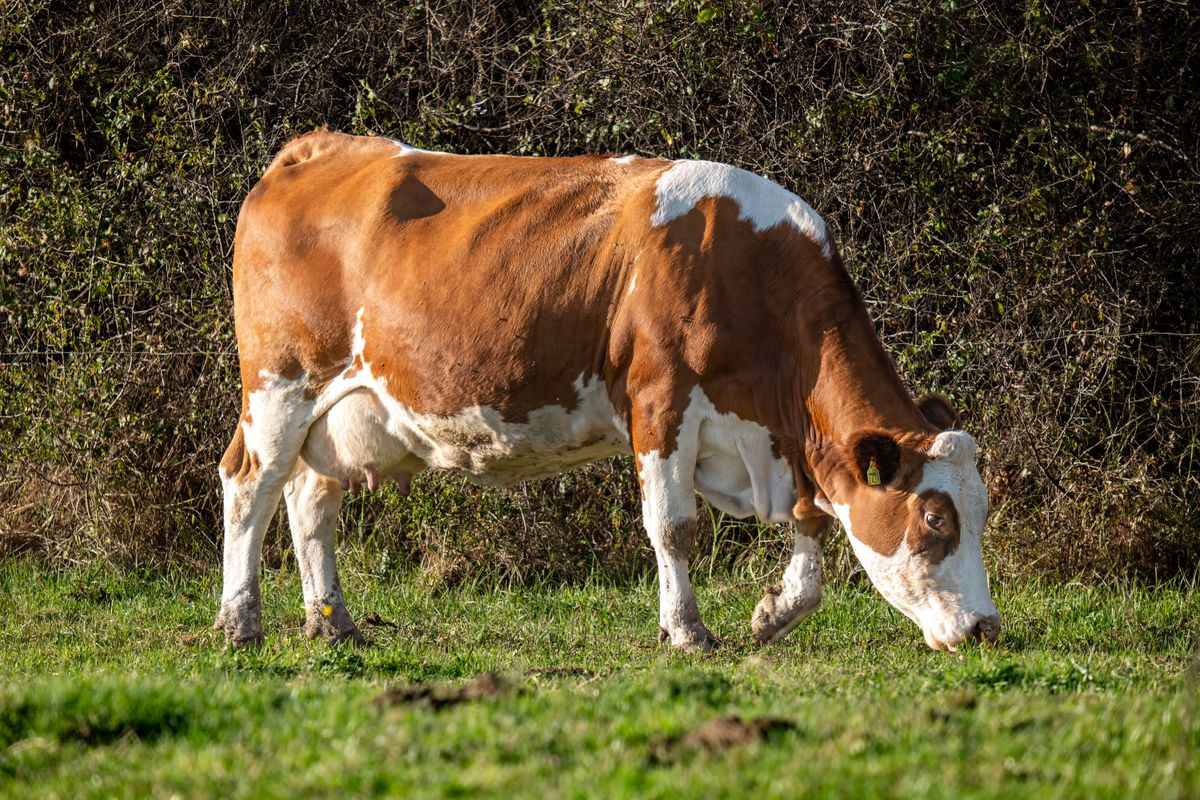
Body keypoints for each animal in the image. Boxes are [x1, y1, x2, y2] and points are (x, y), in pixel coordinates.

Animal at [215, 129, 1000, 653]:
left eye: (981, 512)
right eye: (935, 520)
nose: (987, 628)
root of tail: (320, 148)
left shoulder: (789, 441)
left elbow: (813, 523)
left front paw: (774, 612)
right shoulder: (659, 401)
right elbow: (674, 526)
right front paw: (687, 631)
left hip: (341, 413)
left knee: (310, 500)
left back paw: (334, 625)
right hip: (281, 385)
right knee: (250, 484)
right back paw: (240, 621)